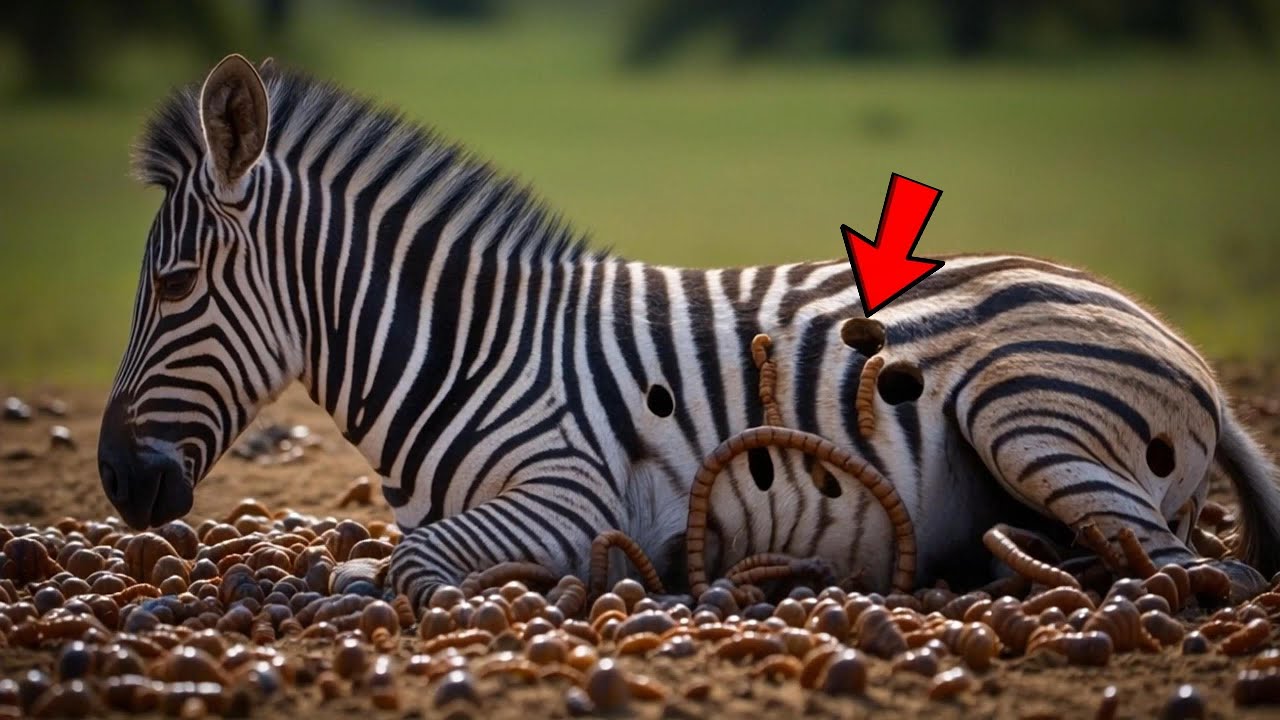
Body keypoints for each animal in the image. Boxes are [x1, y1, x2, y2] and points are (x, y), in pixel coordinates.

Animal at [98, 54, 1280, 609]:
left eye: (175, 283)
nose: (116, 482)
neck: (465, 350)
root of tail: (1161, 330)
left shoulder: (570, 489)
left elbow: (415, 568)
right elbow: (367, 568)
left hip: (1024, 414)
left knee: (1205, 577)